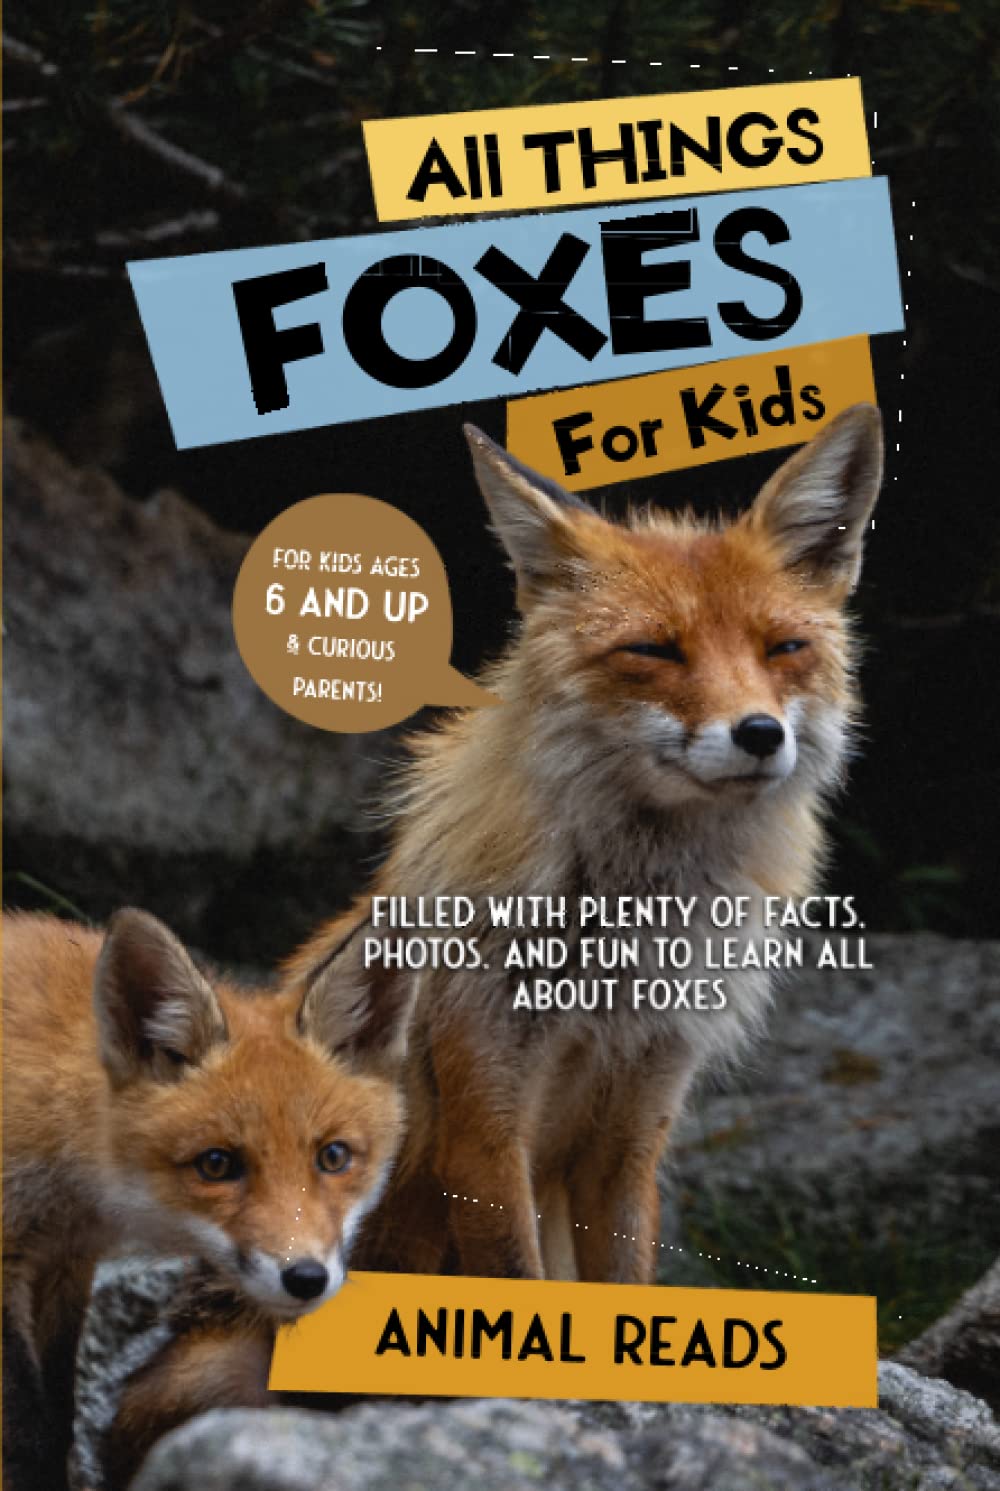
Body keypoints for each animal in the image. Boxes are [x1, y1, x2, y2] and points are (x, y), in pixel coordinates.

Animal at [1, 908, 413, 1491]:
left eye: (333, 1157)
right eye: (216, 1164)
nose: (306, 1278)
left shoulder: (65, 1257)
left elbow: (58, 1411)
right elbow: (26, 1431)